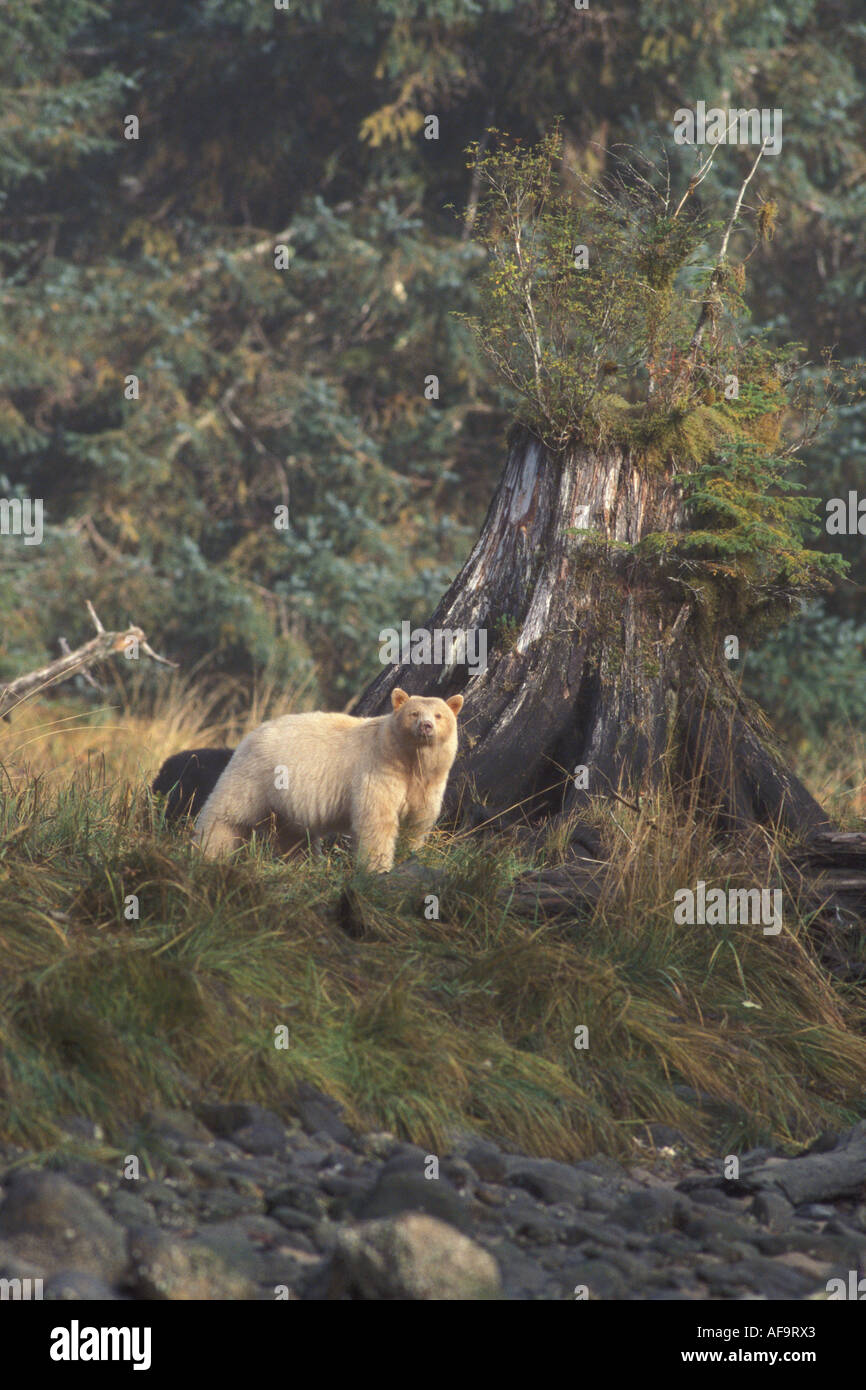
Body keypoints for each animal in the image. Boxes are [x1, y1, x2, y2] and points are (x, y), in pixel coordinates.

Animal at [194, 688, 464, 872]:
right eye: (414, 713)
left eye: (439, 715)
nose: (426, 726)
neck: (410, 760)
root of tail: (251, 734)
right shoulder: (380, 769)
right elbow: (377, 820)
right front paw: (378, 868)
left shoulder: (429, 783)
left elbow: (418, 821)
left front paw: (410, 855)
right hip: (254, 776)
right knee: (226, 815)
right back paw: (208, 851)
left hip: (284, 799)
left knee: (293, 835)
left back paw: (302, 863)